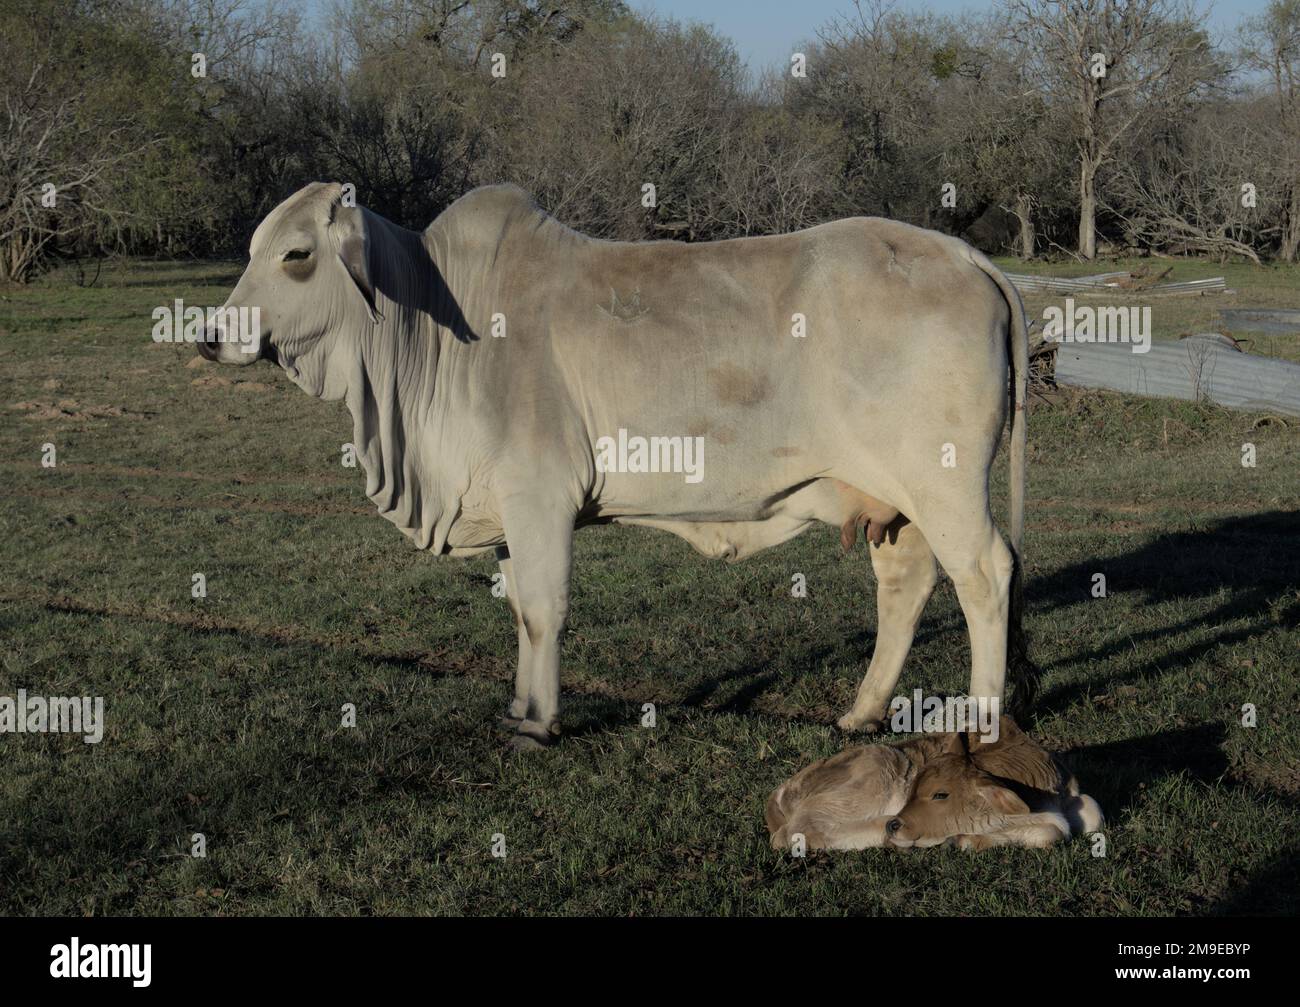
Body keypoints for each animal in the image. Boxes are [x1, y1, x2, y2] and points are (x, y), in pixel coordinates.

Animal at [196, 181, 1036, 750]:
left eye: (297, 255)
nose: (208, 332)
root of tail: (966, 254)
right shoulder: (508, 512)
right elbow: (517, 610)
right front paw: (518, 705)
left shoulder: (540, 496)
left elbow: (544, 608)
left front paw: (538, 722)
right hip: (896, 498)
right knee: (908, 585)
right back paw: (861, 711)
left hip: (945, 484)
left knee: (986, 574)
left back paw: (983, 719)